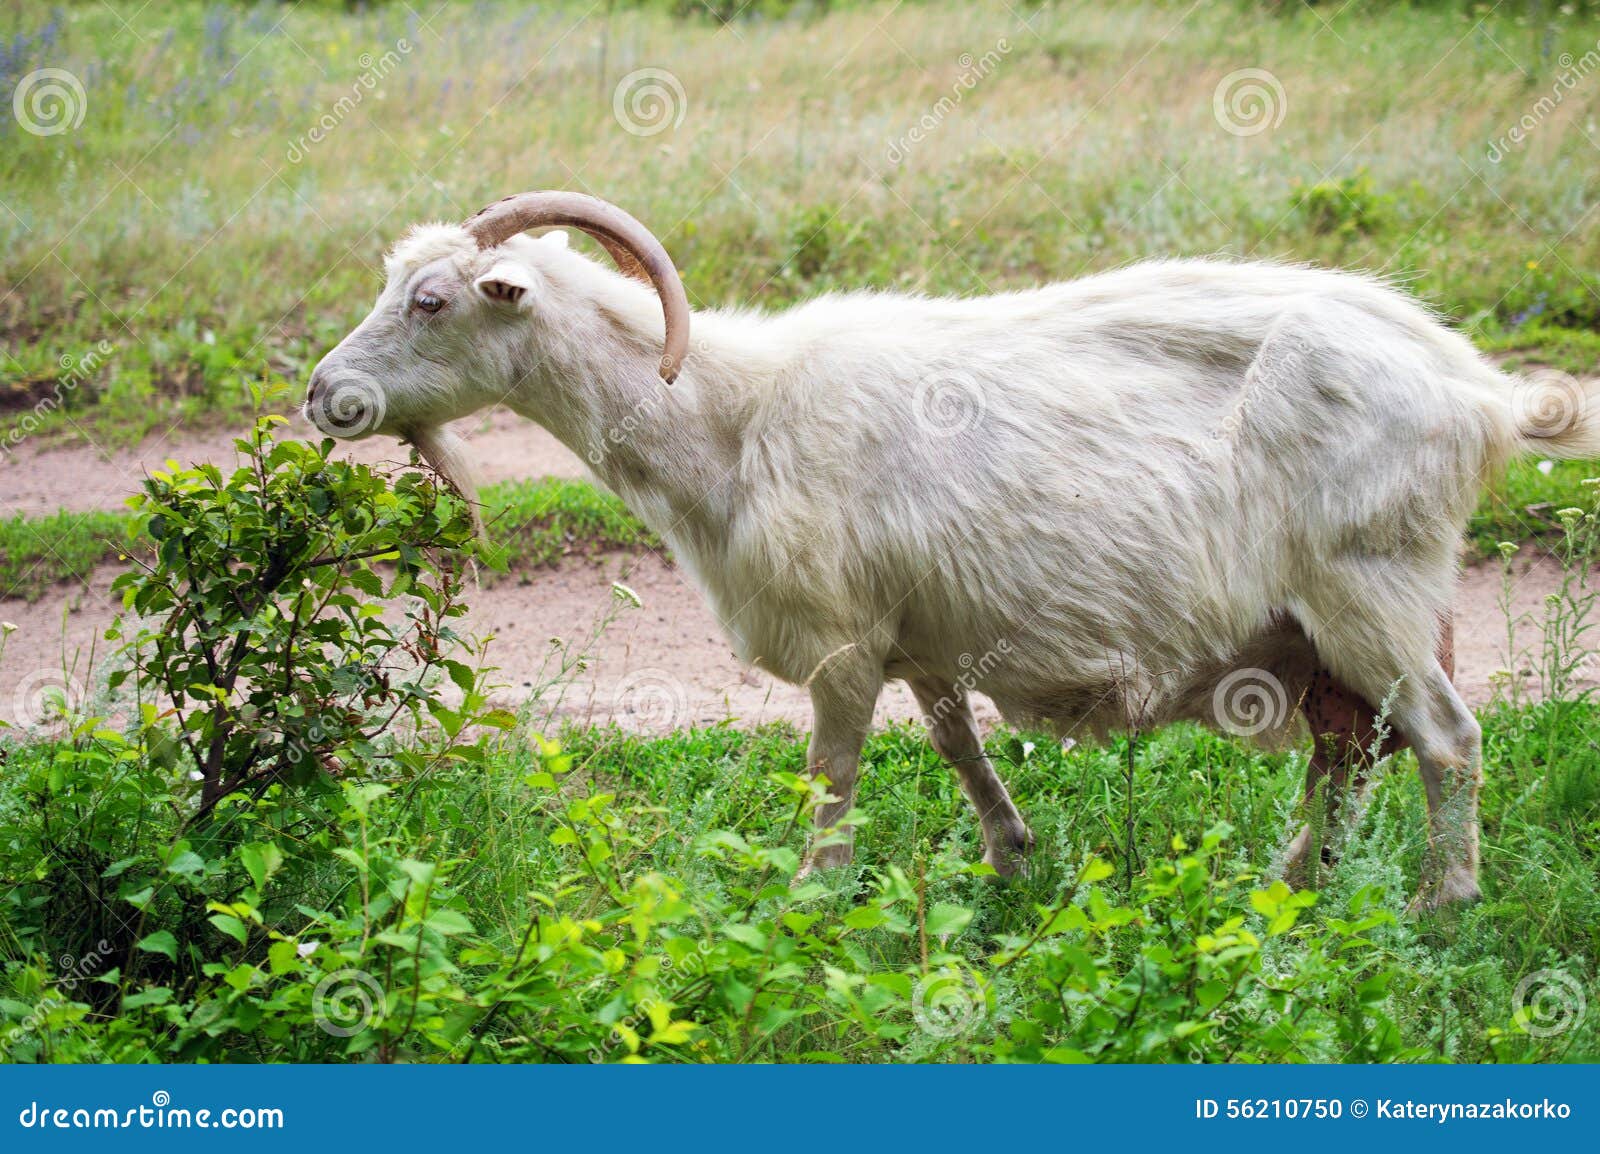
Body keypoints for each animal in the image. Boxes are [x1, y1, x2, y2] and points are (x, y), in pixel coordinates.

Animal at [306, 191, 1600, 908]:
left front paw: (811, 898)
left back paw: (1442, 901)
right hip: (1317, 619)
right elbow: (955, 741)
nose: (324, 396)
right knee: (1349, 750)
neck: (729, 417)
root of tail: (1474, 388)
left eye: (431, 301)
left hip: (1368, 583)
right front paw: (1010, 856)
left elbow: (832, 773)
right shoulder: (918, 631)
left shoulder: (838, 643)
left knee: (1445, 737)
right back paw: (1288, 884)